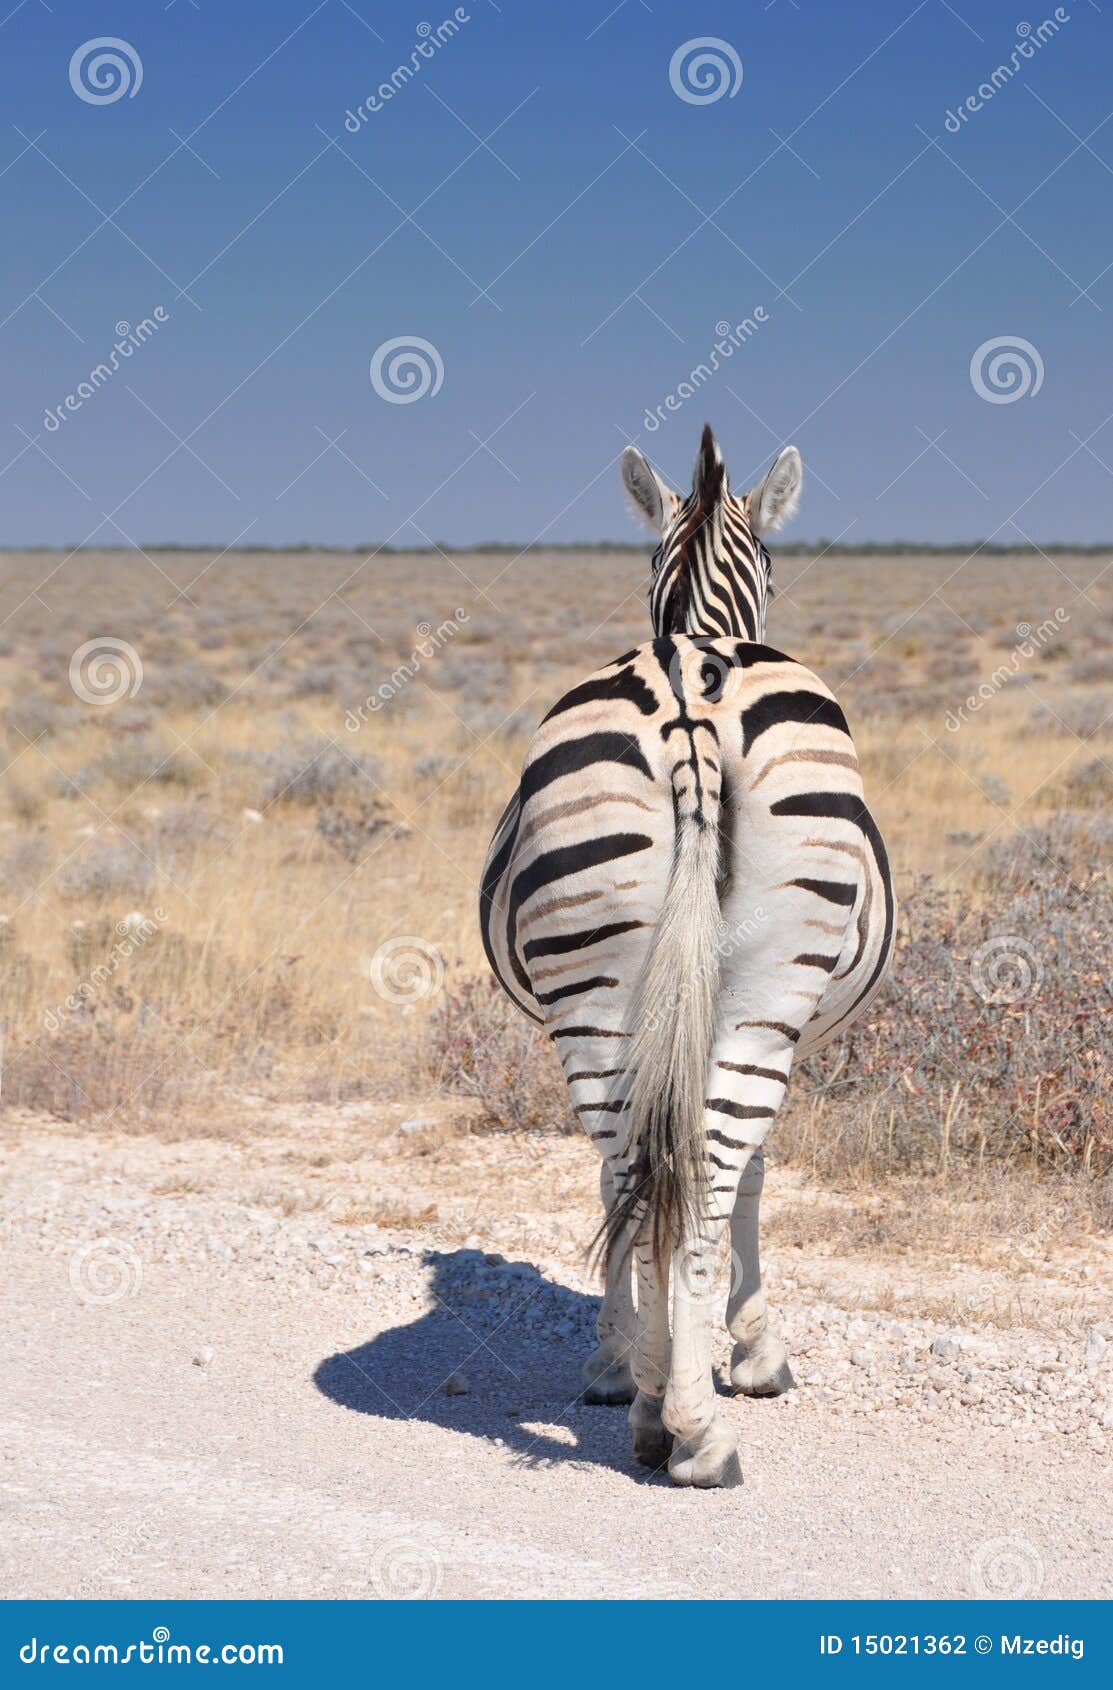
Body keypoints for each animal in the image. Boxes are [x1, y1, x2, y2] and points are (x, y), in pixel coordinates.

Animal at [480, 424, 895, 1488]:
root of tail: (687, 688)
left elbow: (614, 1178)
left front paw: (619, 1363)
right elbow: (751, 1179)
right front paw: (749, 1353)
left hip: (594, 991)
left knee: (634, 1172)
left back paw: (649, 1408)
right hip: (761, 1001)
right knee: (705, 1180)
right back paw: (698, 1432)